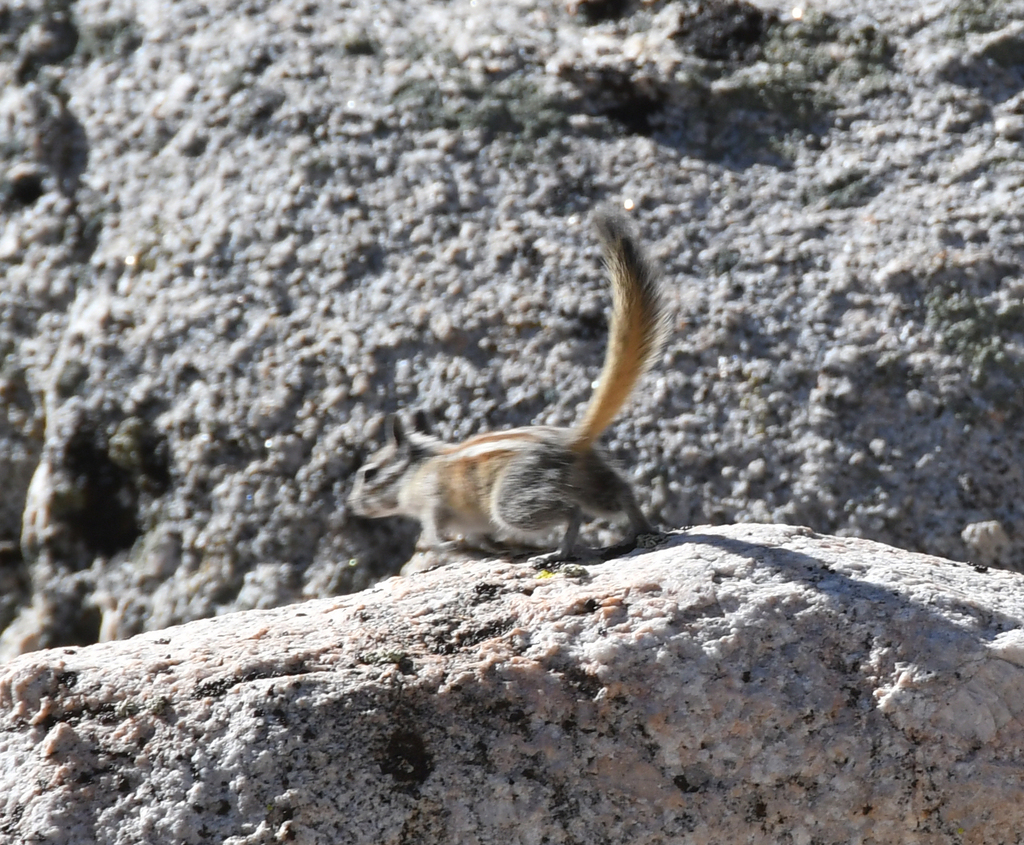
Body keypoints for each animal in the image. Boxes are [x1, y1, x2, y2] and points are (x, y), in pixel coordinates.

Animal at [347, 210, 669, 562]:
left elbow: (434, 535)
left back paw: (558, 552)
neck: (418, 467)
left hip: (513, 500)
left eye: (369, 473)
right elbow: (482, 539)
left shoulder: (432, 502)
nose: (352, 505)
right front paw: (491, 550)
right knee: (622, 493)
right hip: (591, 480)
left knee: (571, 510)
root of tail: (572, 441)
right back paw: (644, 531)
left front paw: (449, 548)